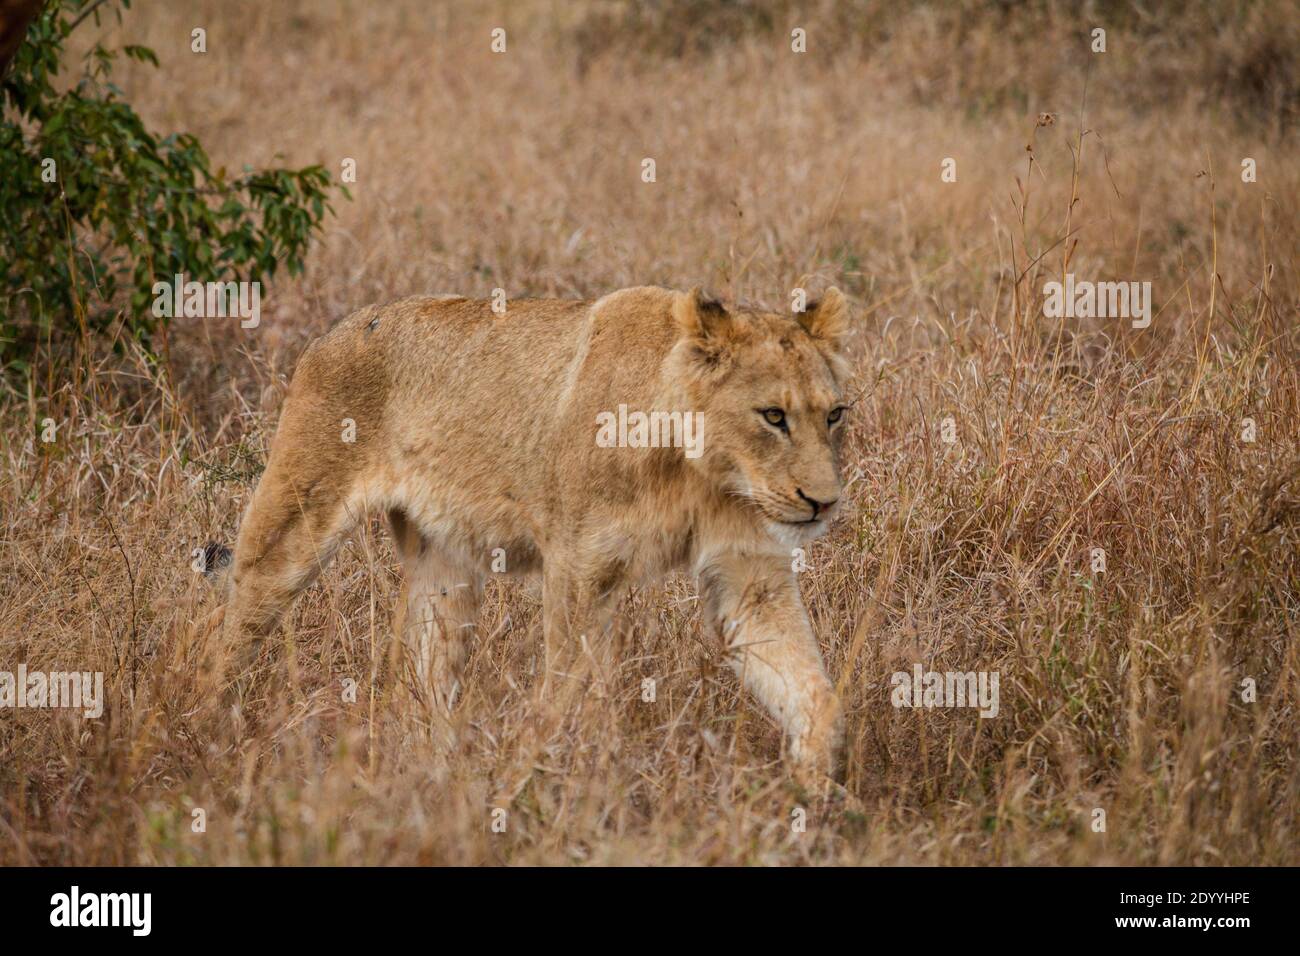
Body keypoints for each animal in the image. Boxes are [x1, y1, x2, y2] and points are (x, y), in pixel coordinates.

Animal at [210, 285, 852, 776]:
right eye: (773, 416)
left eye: (834, 414)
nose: (823, 504)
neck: (699, 469)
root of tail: (331, 333)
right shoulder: (579, 565)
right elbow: (569, 689)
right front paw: (552, 768)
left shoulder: (749, 573)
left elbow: (812, 693)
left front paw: (810, 798)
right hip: (293, 524)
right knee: (226, 624)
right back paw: (204, 724)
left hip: (445, 564)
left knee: (424, 669)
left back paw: (434, 763)